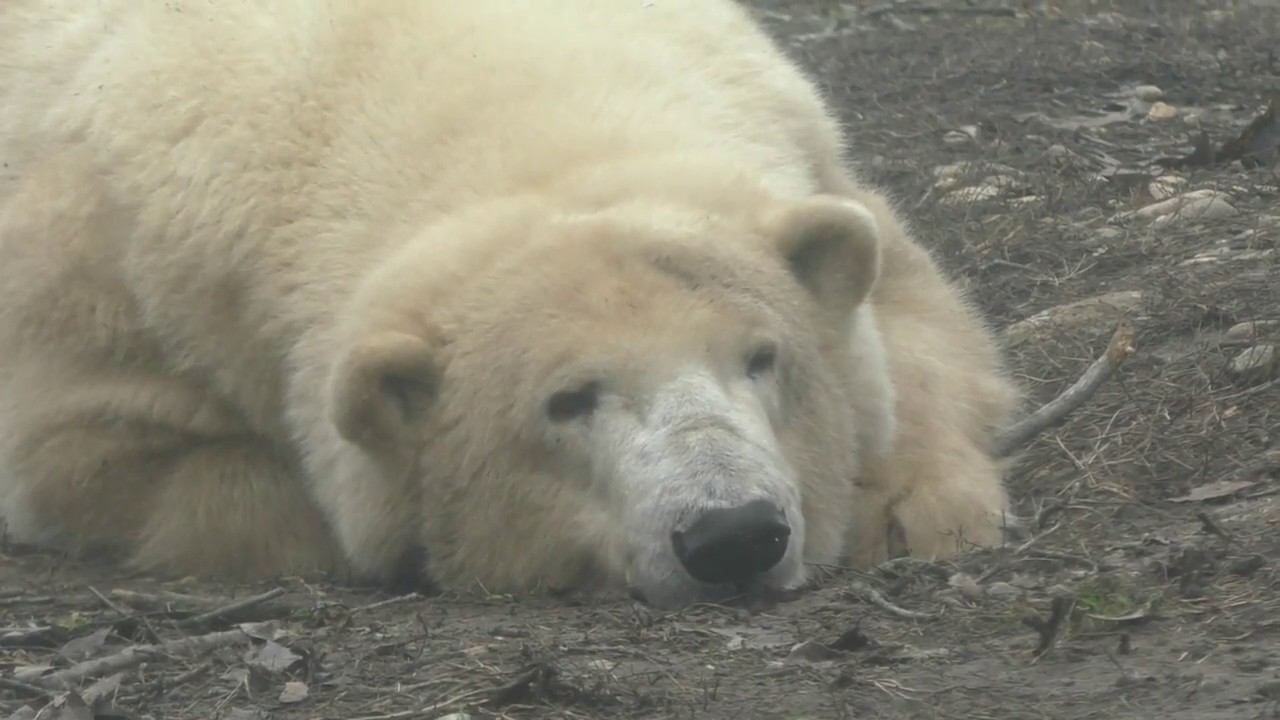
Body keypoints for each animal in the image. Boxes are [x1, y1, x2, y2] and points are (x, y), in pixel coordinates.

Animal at [0, 0, 1021, 609]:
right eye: (567, 401)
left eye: (764, 357)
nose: (732, 534)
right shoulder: (115, 290)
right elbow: (88, 450)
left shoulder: (801, 145)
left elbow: (914, 308)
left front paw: (920, 506)